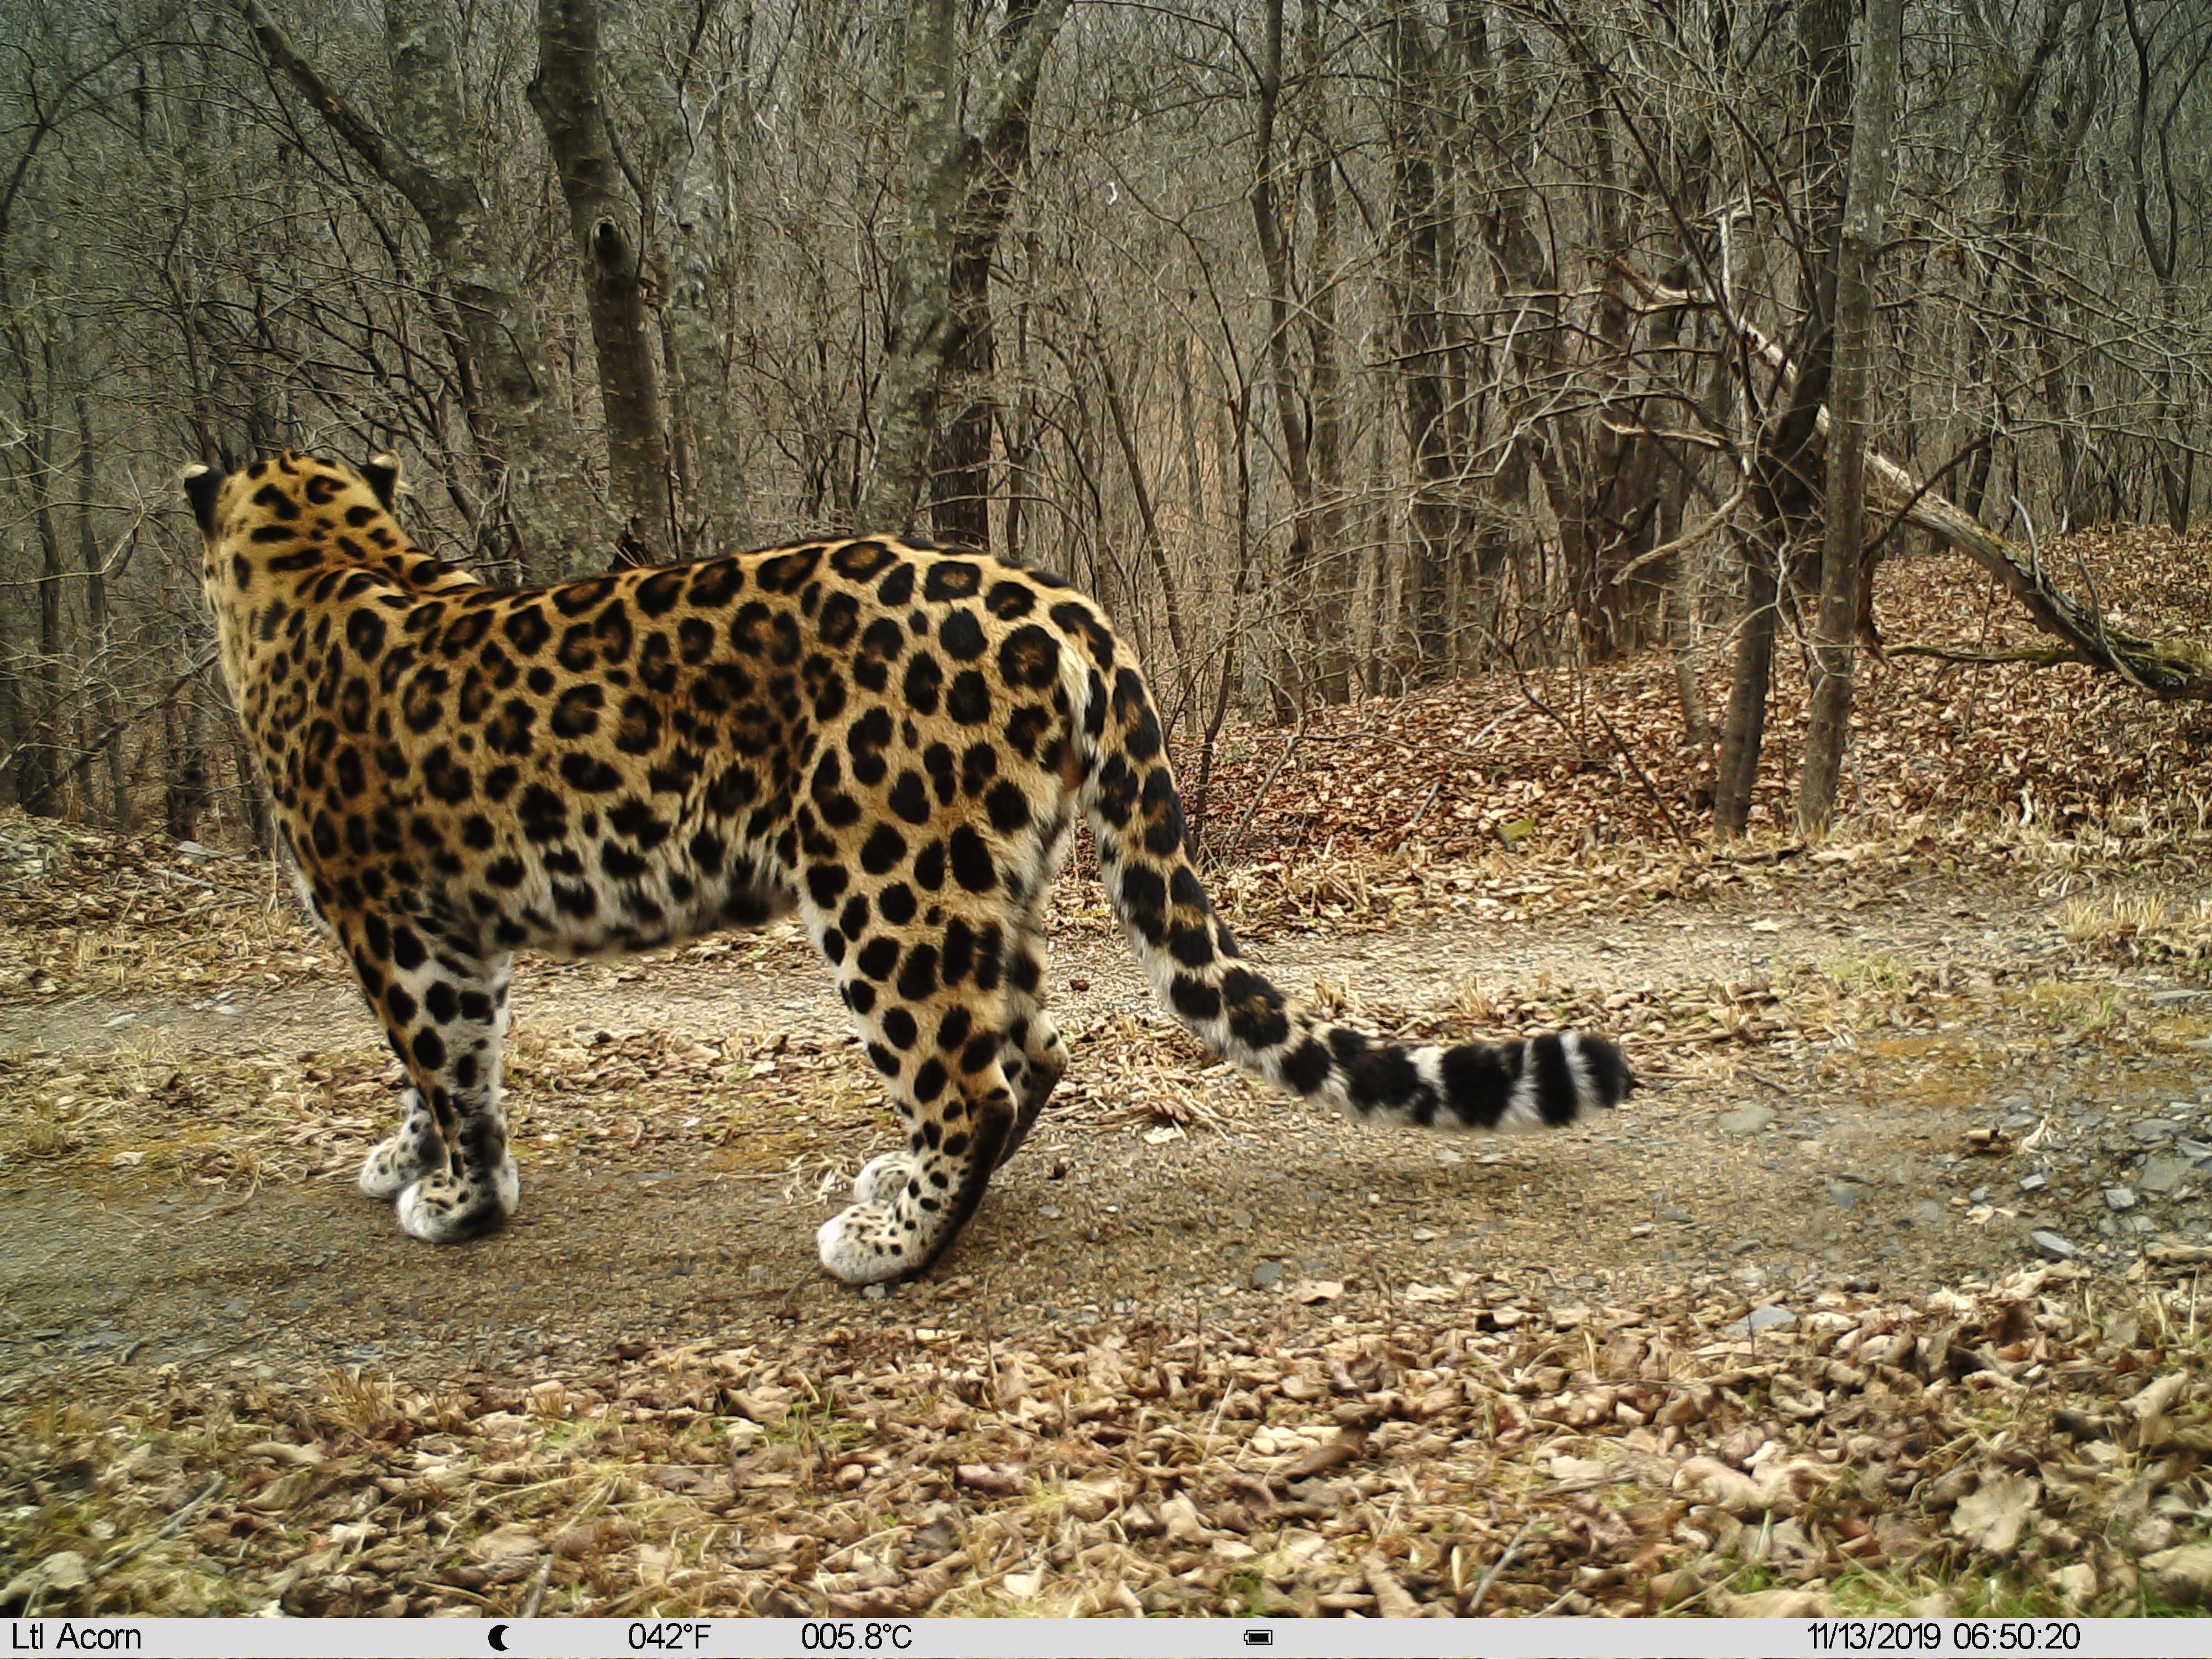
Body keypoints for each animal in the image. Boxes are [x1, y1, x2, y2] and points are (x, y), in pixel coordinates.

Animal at [183, 451, 1633, 1285]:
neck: (324, 560)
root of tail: (1069, 604)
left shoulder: (391, 921)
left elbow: (445, 1061)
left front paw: (458, 1198)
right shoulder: (445, 924)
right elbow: (443, 1065)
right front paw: (408, 1159)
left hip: (878, 873)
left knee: (966, 1075)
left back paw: (886, 1243)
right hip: (984, 876)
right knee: (1029, 1051)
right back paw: (914, 1197)